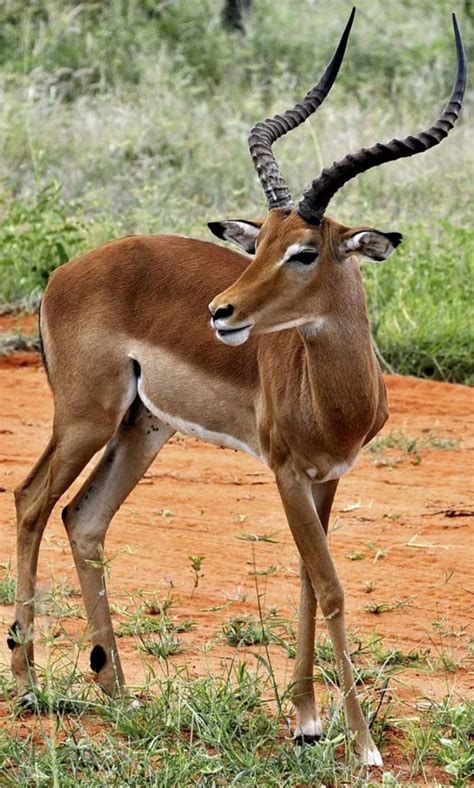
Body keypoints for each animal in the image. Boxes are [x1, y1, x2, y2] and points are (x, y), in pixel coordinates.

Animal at [9, 8, 465, 767]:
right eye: (260, 243)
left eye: (303, 250)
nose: (220, 312)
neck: (334, 397)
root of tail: (62, 275)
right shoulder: (284, 471)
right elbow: (332, 588)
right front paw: (363, 744)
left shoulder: (327, 476)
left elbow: (310, 583)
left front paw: (308, 722)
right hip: (84, 418)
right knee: (30, 501)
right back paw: (26, 685)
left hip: (142, 428)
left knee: (84, 518)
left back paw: (119, 692)